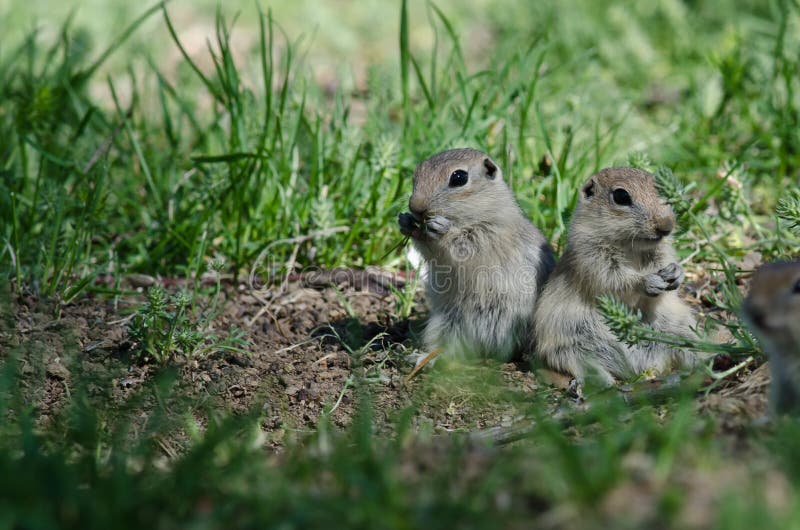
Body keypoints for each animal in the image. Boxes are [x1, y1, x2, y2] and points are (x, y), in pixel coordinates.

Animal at [398, 148, 555, 362]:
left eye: (459, 177)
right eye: (417, 173)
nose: (416, 207)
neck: (485, 209)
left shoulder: (487, 237)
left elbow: (458, 246)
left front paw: (440, 228)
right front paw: (405, 222)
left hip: (479, 320)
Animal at [533, 167, 696, 384]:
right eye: (621, 196)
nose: (667, 226)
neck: (631, 246)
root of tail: (637, 369)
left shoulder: (662, 252)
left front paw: (676, 273)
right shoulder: (592, 257)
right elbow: (614, 280)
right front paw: (647, 281)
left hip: (680, 329)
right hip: (569, 345)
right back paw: (603, 384)